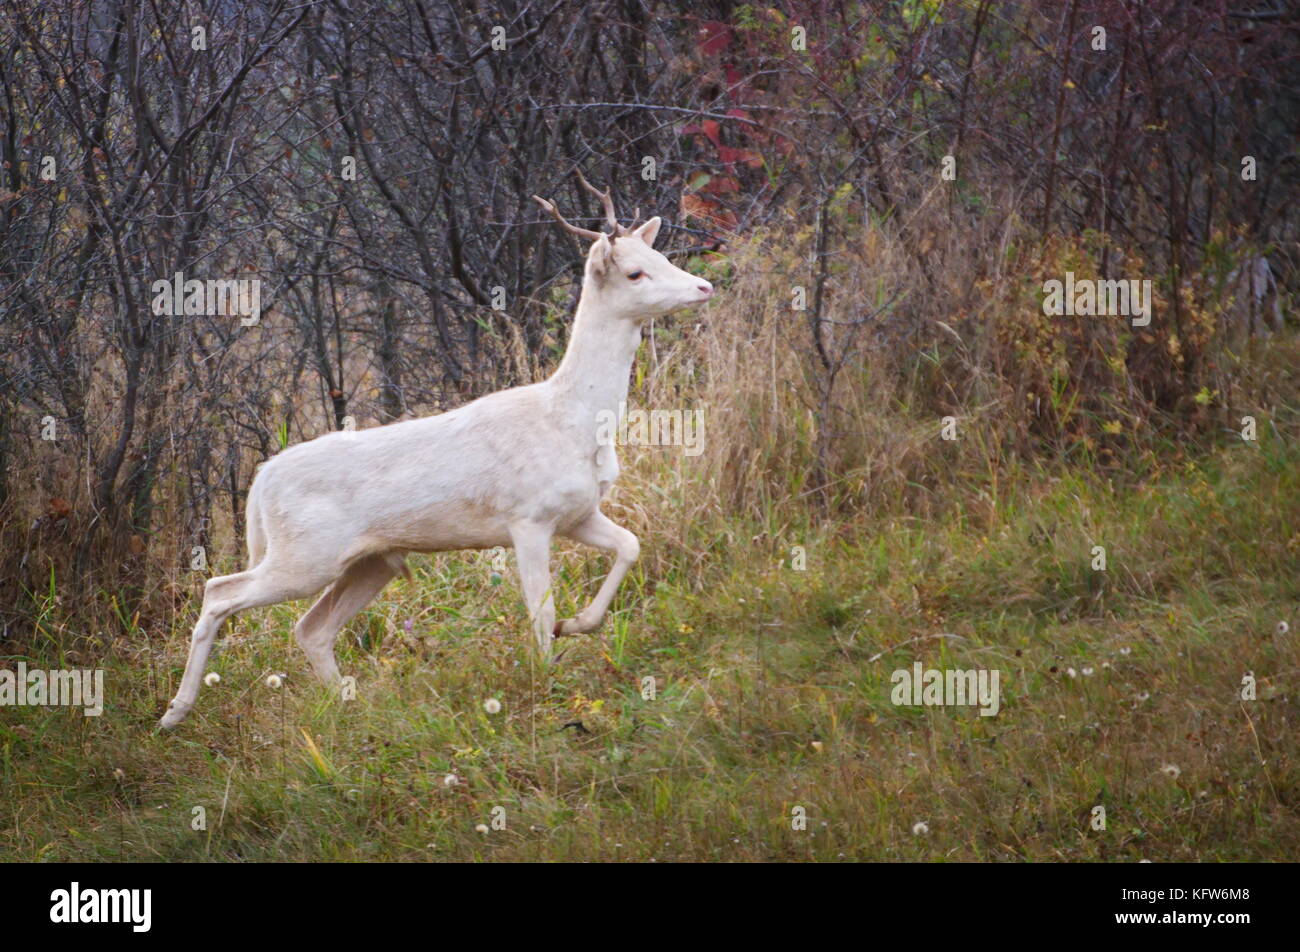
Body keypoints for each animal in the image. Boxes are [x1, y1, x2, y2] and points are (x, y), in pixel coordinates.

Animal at [159, 174, 714, 728]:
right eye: (635, 272)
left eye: (660, 255)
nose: (703, 287)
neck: (570, 421)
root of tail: (262, 479)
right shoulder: (527, 518)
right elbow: (541, 609)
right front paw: (546, 680)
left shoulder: (577, 513)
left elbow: (630, 545)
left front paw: (579, 625)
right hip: (304, 554)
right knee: (219, 591)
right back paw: (175, 712)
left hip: (371, 560)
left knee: (310, 628)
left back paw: (351, 707)